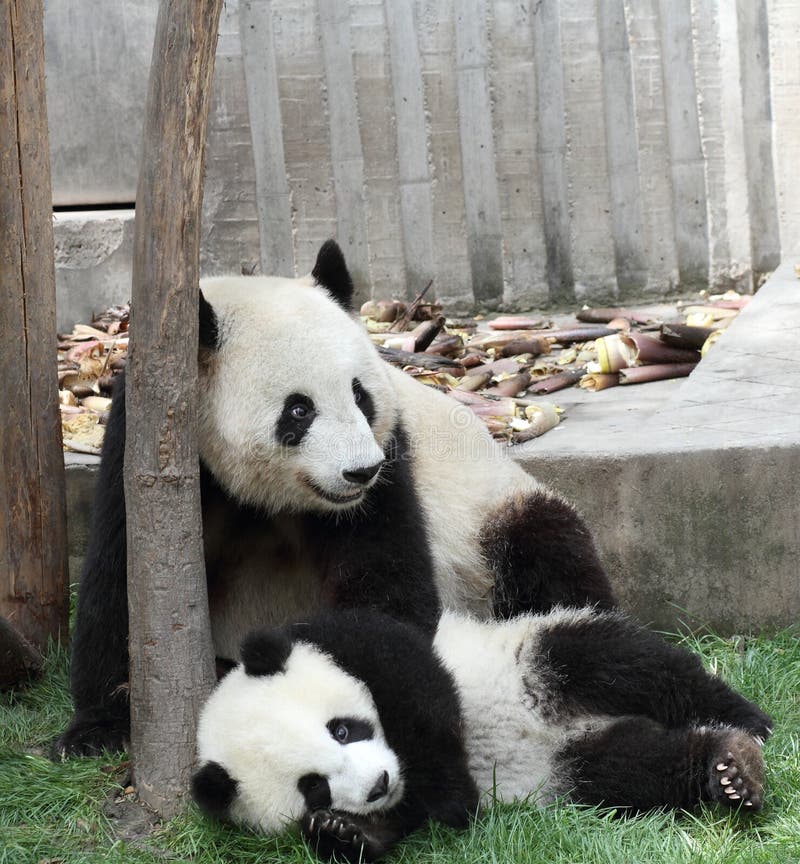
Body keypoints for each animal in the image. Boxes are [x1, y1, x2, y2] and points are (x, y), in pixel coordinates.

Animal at [55, 240, 614, 757]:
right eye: (299, 410)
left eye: (360, 395)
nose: (360, 471)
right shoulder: (147, 440)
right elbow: (123, 576)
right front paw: (99, 727)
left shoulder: (393, 463)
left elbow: (387, 591)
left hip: (489, 513)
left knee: (546, 551)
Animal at [192, 608, 771, 862]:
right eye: (312, 786)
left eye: (342, 729)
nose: (378, 784)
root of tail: (569, 728)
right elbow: (399, 820)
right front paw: (342, 831)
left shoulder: (350, 636)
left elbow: (413, 679)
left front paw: (456, 795)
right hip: (576, 767)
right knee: (634, 770)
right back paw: (725, 767)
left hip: (529, 653)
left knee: (620, 662)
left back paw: (745, 728)